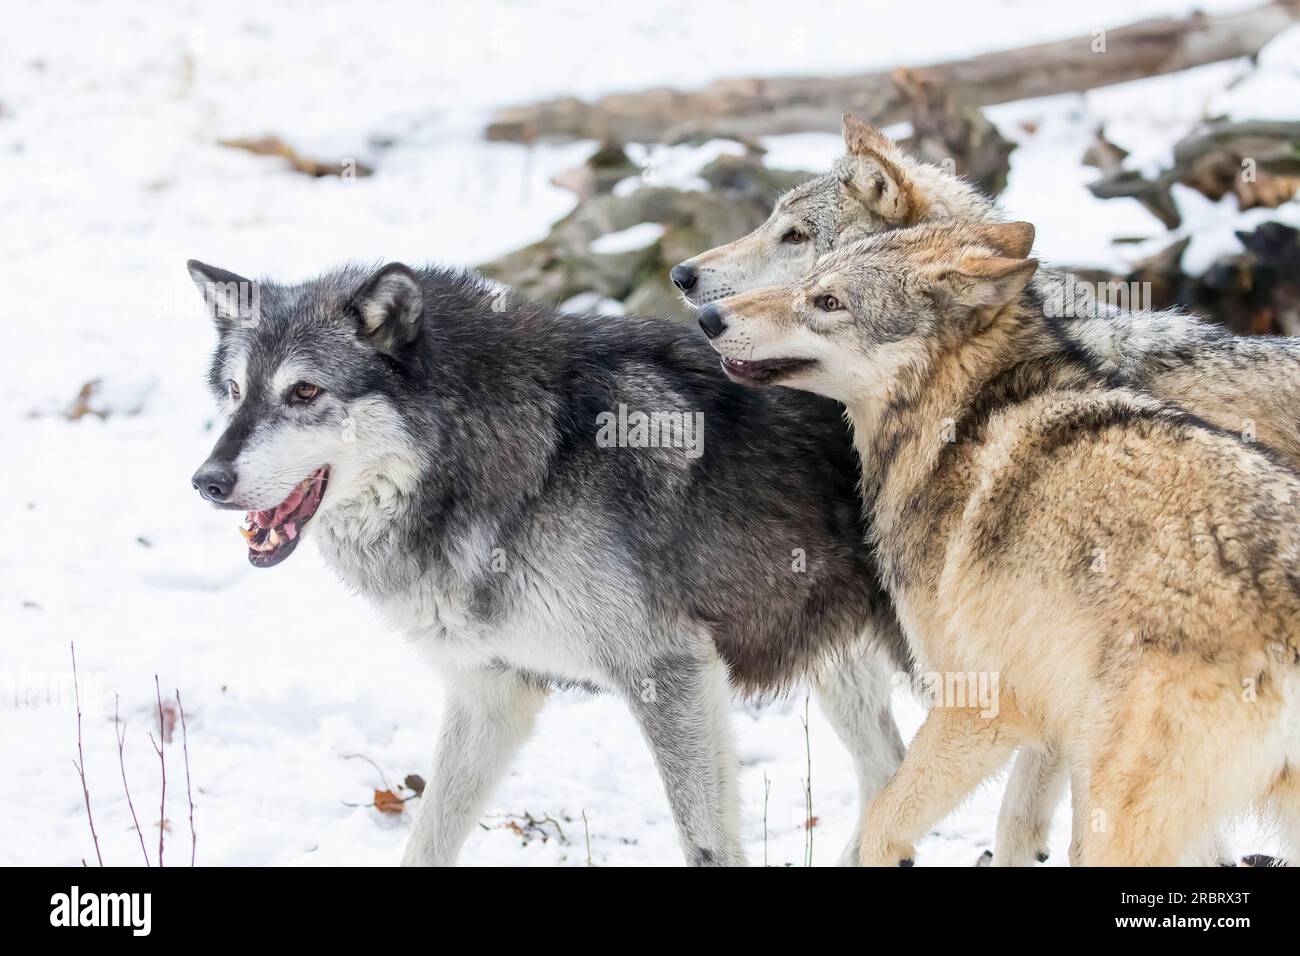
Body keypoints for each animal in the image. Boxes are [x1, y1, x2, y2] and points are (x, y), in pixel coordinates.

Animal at [185, 258, 911, 866]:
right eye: (234, 391)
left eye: (304, 392)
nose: (207, 481)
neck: (525, 461)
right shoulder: (491, 692)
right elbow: (426, 842)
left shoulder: (671, 673)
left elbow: (707, 846)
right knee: (891, 777)